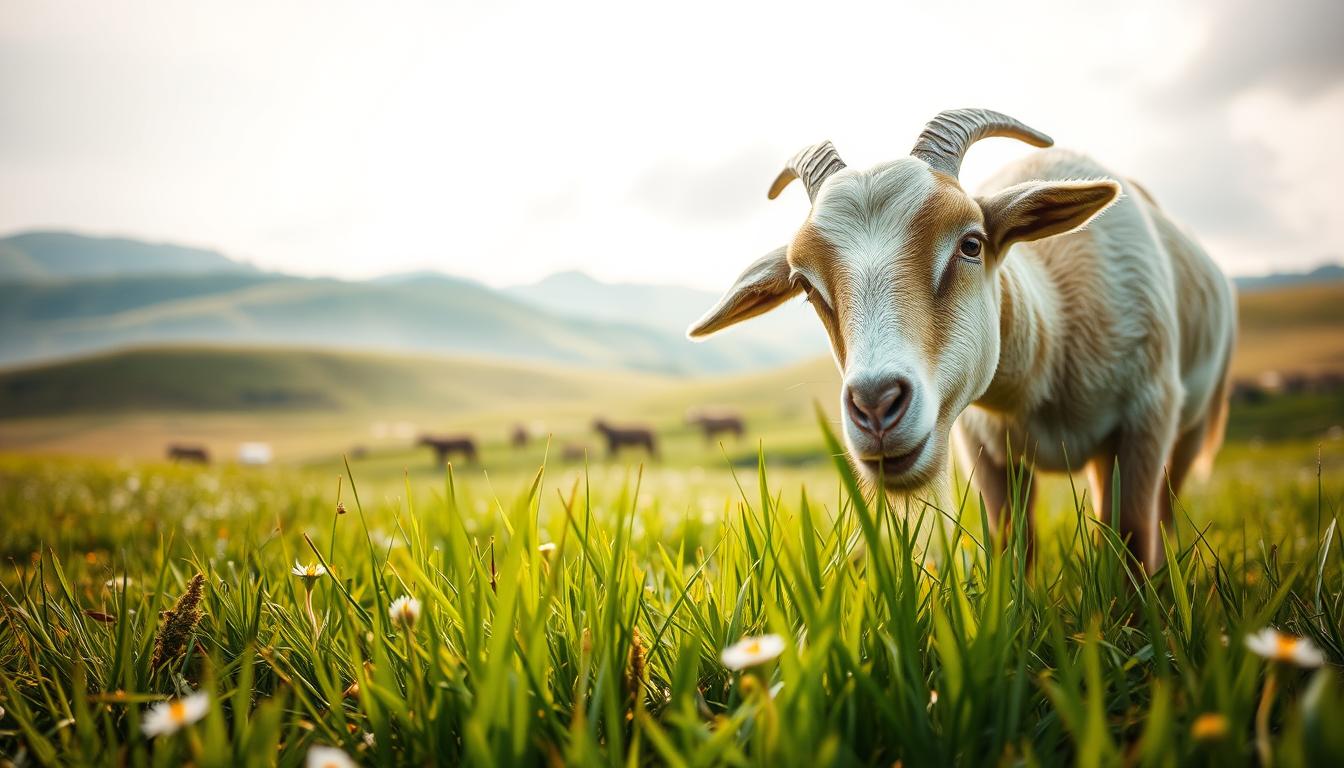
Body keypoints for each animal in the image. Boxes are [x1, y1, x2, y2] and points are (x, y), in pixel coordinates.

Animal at [689, 109, 1236, 572]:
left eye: (971, 243)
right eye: (804, 285)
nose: (875, 405)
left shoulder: (1148, 418)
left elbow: (1134, 540)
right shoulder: (985, 448)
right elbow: (1013, 544)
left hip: (1189, 428)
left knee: (1162, 513)